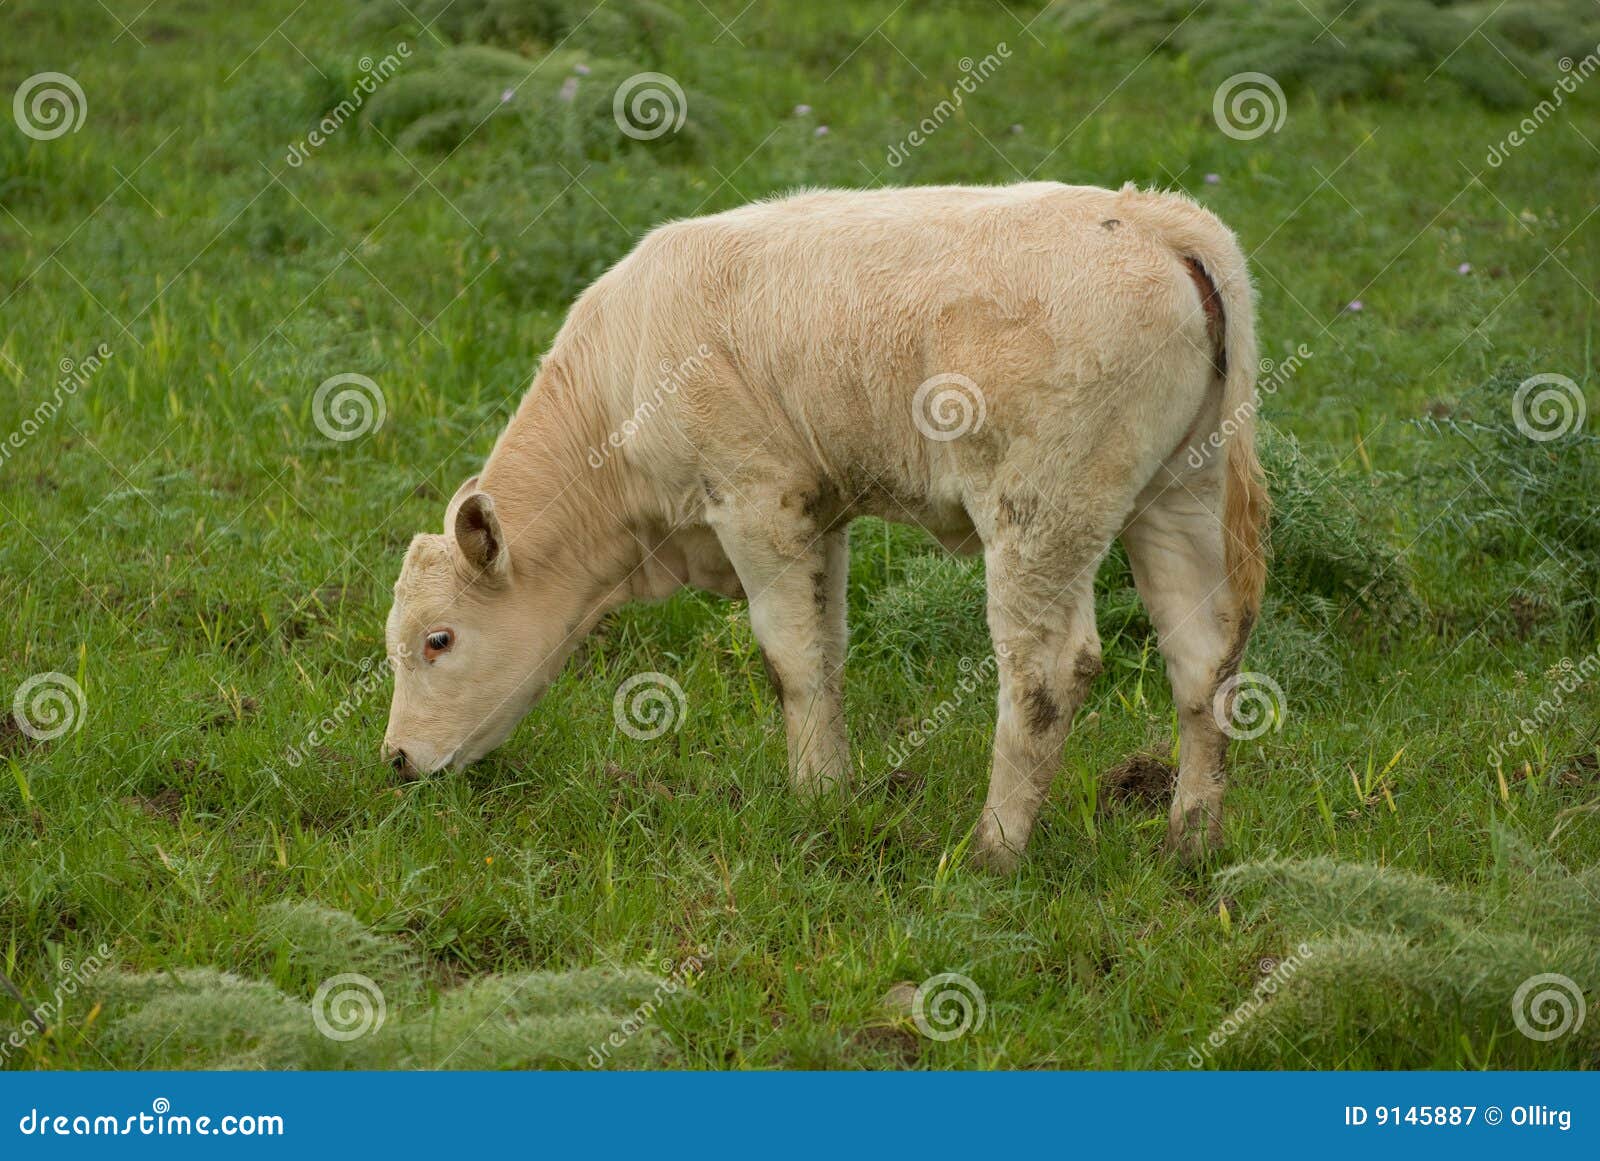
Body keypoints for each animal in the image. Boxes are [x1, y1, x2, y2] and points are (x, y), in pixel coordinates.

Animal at [381, 181, 1267, 871]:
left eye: (438, 639)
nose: (395, 759)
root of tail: (1160, 220)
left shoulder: (754, 496)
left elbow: (791, 659)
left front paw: (810, 800)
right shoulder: (822, 508)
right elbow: (829, 649)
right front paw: (836, 792)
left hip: (1042, 508)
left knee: (1045, 672)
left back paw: (994, 849)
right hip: (1180, 490)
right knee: (1203, 660)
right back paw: (1190, 841)